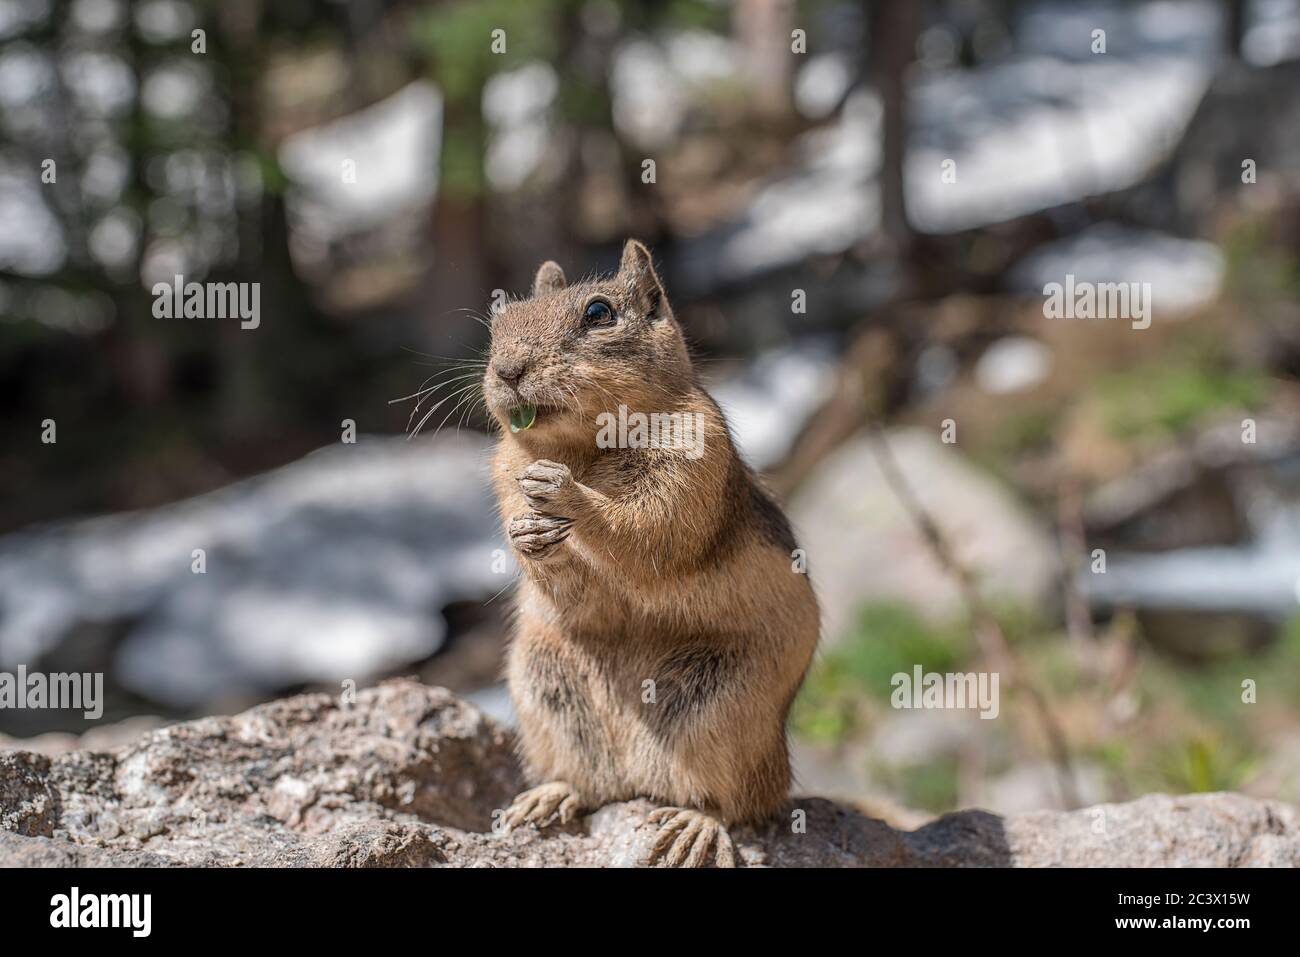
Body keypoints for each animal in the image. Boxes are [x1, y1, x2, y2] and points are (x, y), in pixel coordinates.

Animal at [486, 239, 820, 867]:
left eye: (598, 313)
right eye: (500, 319)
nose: (506, 370)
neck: (585, 447)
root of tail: (636, 781)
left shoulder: (692, 459)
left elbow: (647, 535)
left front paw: (569, 496)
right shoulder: (505, 473)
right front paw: (527, 536)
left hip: (721, 710)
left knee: (737, 803)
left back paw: (695, 825)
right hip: (542, 682)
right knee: (590, 784)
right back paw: (552, 794)